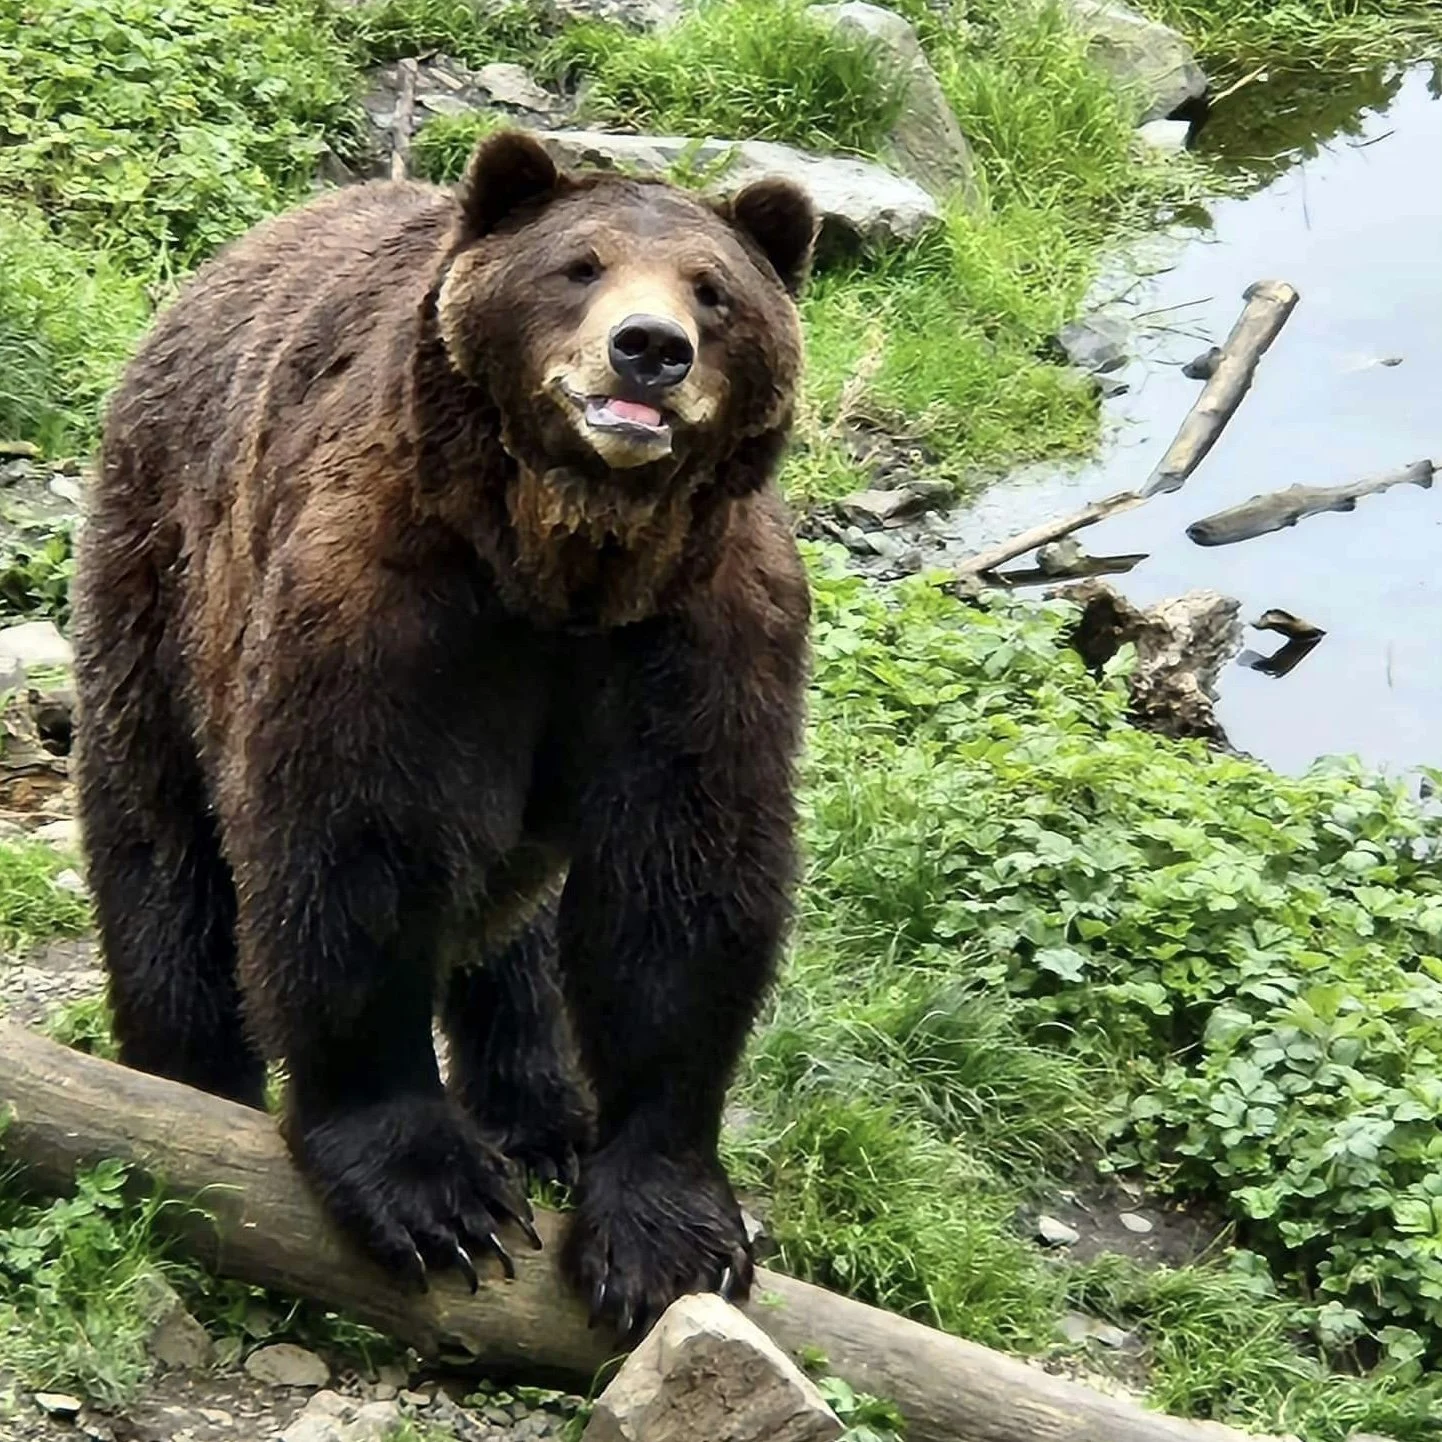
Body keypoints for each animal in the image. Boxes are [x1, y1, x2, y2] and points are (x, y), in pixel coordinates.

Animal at [69, 129, 816, 1336]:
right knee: (159, 837)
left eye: (714, 290)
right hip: (162, 561)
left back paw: (541, 1111)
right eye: (579, 265)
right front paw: (433, 1194)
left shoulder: (699, 637)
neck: (563, 567)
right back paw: (180, 1084)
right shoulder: (390, 594)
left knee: (517, 925)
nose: (649, 350)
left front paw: (667, 1236)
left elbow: (680, 890)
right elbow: (354, 845)